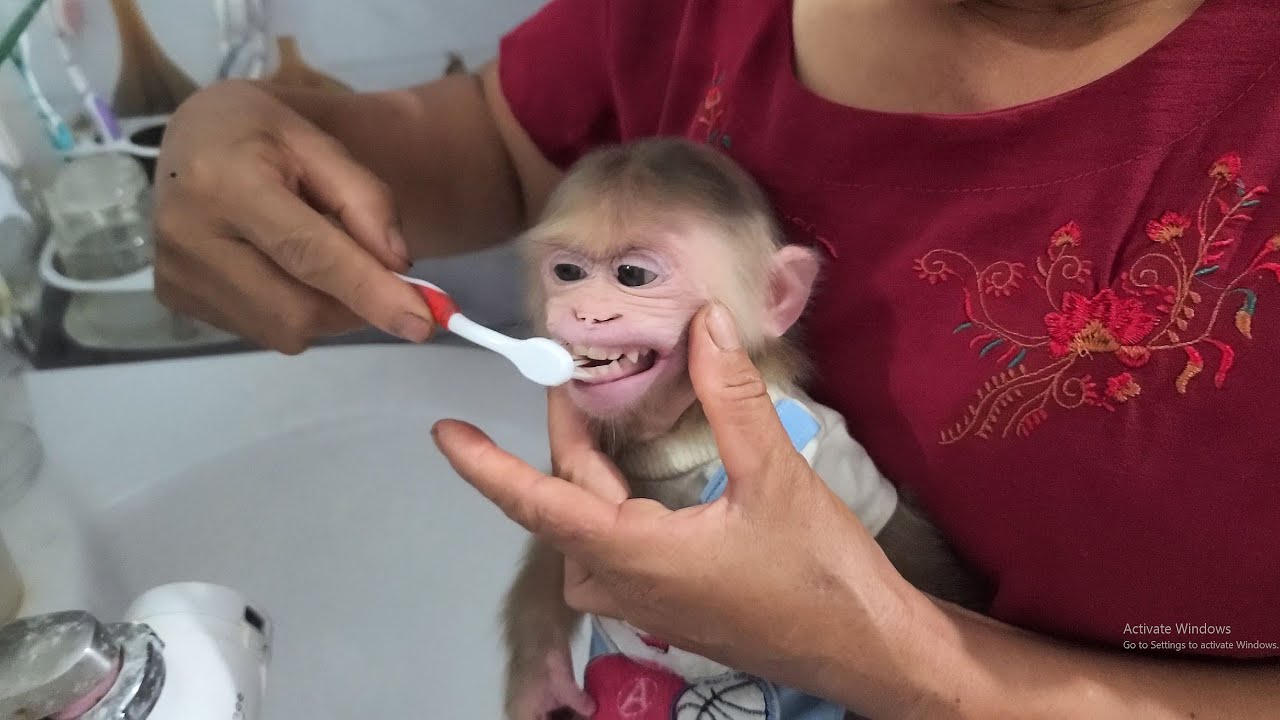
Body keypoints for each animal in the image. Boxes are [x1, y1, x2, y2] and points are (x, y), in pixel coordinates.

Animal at [502, 137, 990, 720]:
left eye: (633, 276)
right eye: (568, 273)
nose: (584, 313)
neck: (681, 427)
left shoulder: (835, 466)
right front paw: (541, 675)